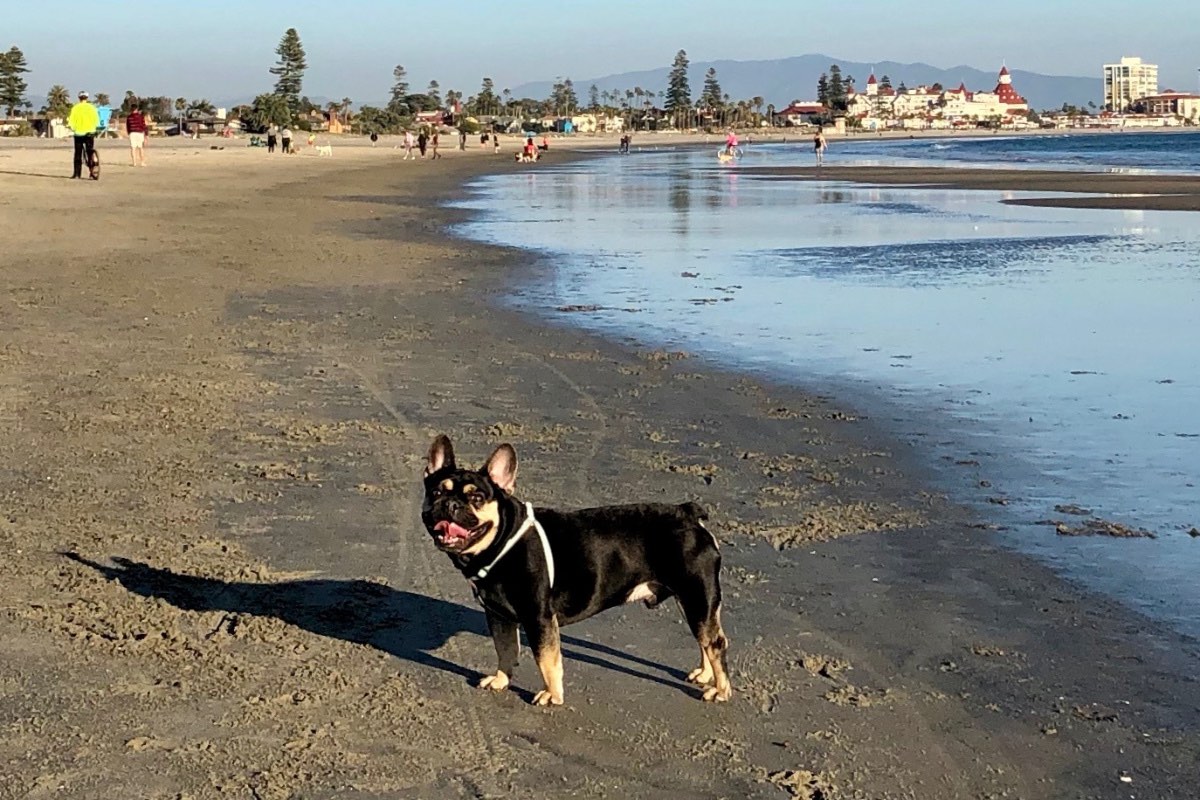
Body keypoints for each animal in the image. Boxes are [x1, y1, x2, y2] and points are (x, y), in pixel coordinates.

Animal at [420, 434, 729, 705]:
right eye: (436, 492)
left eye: (476, 499)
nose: (449, 504)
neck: (502, 540)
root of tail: (688, 514)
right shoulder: (499, 616)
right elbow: (505, 649)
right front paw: (500, 680)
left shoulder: (539, 619)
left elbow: (546, 660)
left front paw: (552, 695)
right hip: (691, 600)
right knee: (706, 638)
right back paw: (705, 675)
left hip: (697, 596)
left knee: (714, 642)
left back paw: (721, 690)